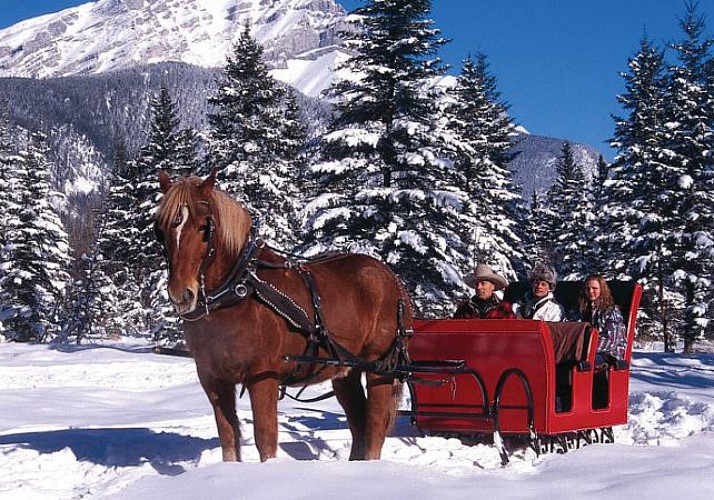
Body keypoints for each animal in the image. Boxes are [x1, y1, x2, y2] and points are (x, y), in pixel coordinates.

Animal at [155, 168, 413, 462]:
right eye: (160, 229)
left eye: (204, 227)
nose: (181, 294)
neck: (237, 293)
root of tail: (392, 279)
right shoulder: (212, 379)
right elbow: (229, 440)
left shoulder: (263, 376)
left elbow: (265, 439)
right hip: (345, 371)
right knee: (359, 423)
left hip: (380, 366)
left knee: (375, 425)